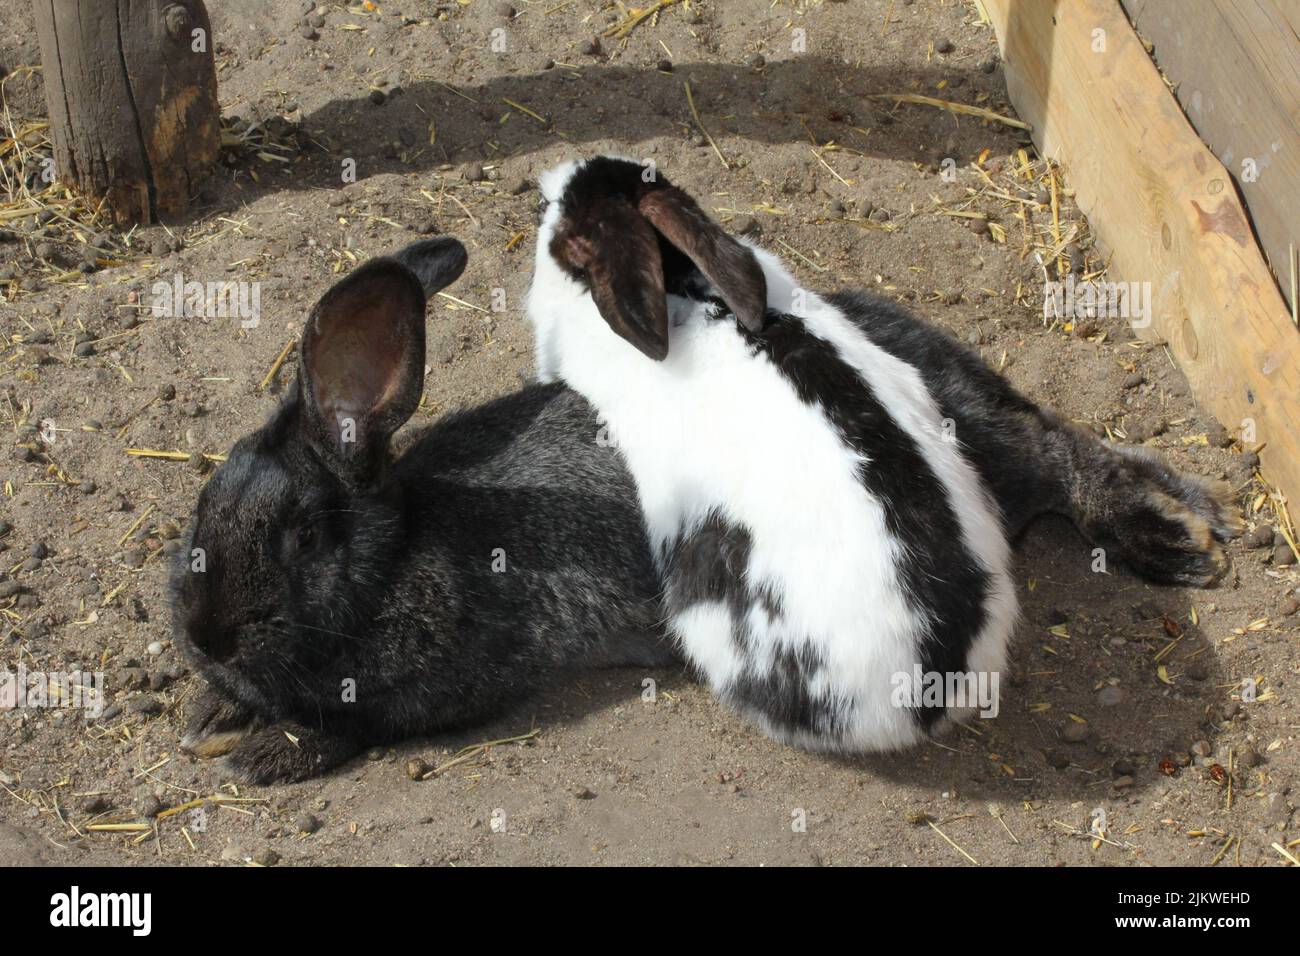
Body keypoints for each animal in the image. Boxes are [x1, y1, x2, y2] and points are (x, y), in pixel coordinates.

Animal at [170, 236, 675, 783]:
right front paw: (211, 718)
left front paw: (260, 755)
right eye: (202, 507)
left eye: (305, 536)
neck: (393, 562)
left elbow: (357, 725)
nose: (209, 640)